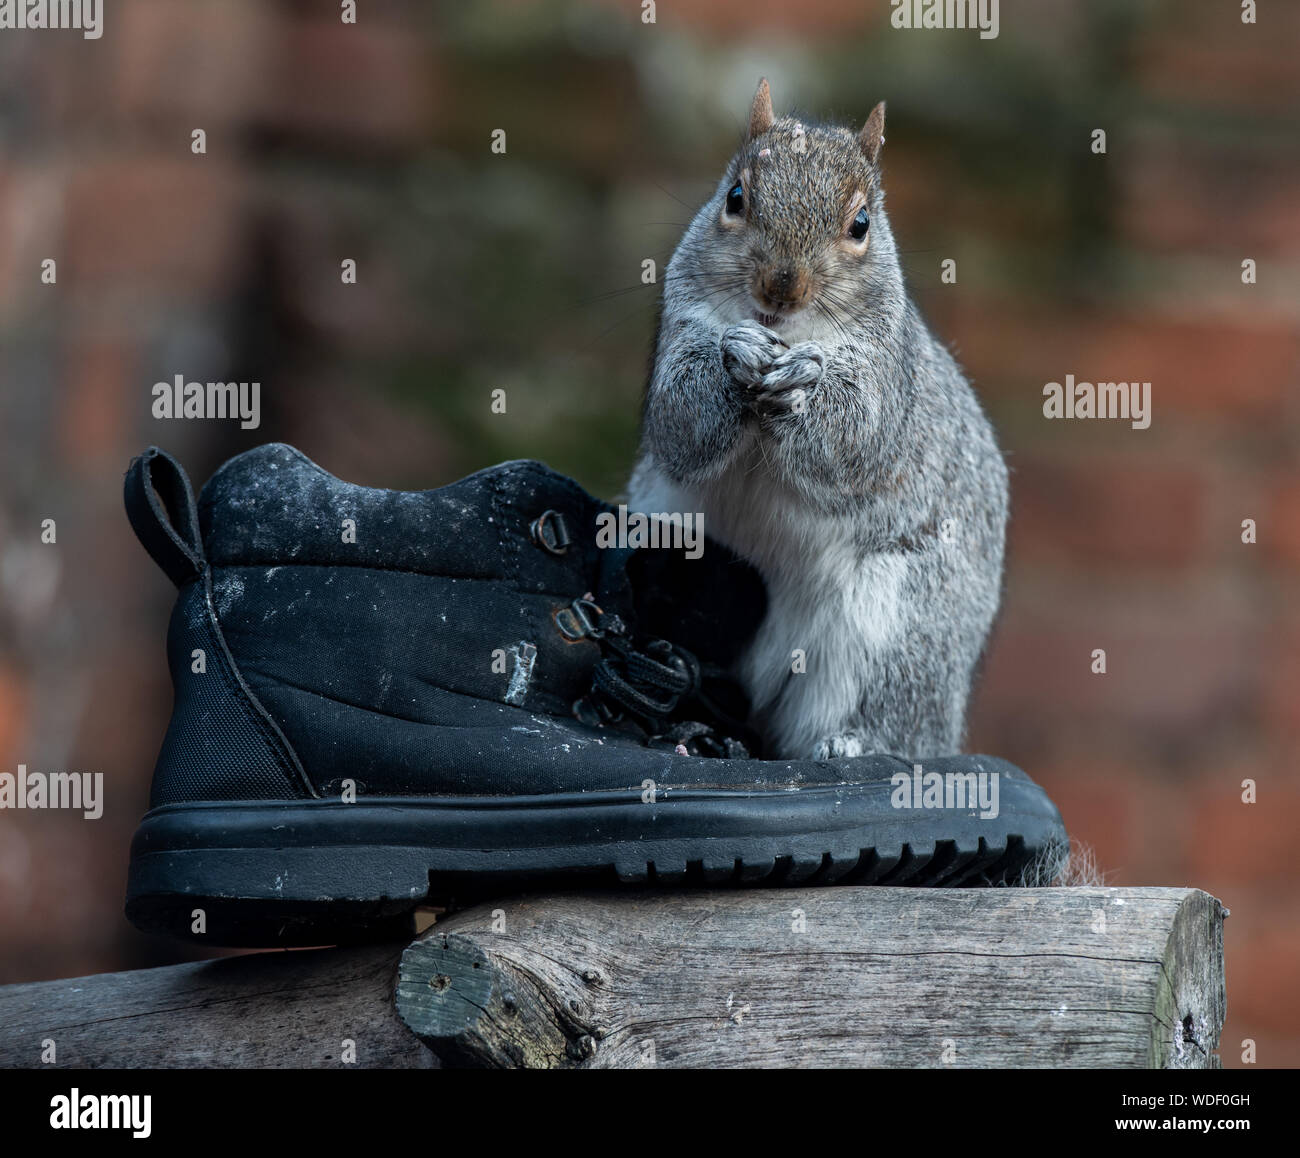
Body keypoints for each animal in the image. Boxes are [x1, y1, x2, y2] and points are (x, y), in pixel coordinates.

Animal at [627, 79, 1009, 761]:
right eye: (735, 197)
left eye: (861, 224)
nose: (782, 286)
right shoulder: (682, 325)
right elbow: (680, 422)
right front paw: (735, 356)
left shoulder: (887, 379)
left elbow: (855, 437)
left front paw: (804, 383)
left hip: (904, 632)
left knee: (890, 715)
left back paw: (850, 744)